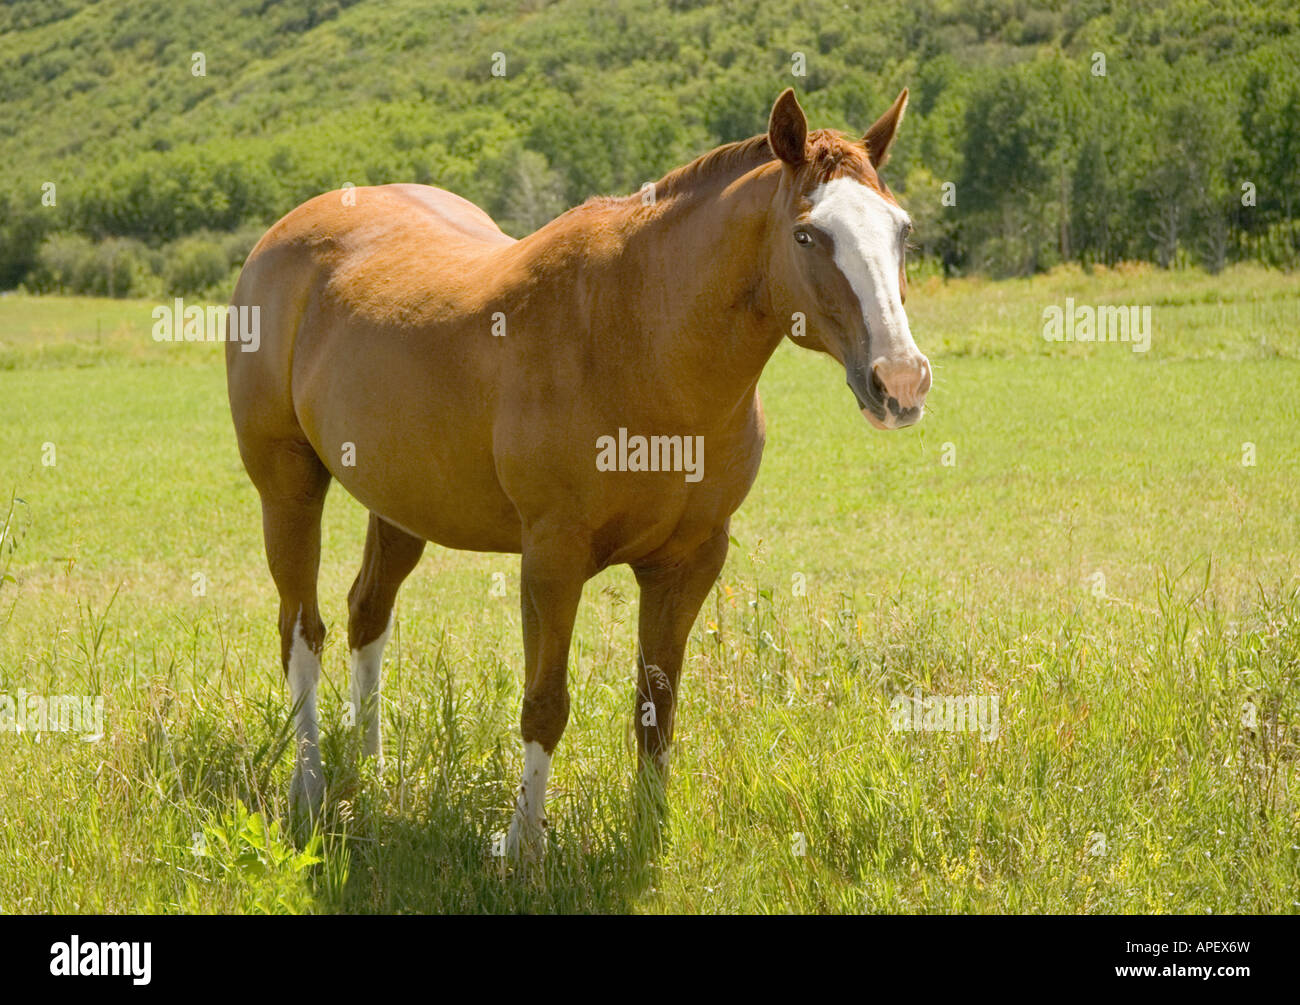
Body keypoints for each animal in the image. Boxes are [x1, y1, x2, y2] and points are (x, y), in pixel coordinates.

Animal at [225, 87, 930, 858]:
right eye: (807, 235)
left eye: (901, 231)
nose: (901, 381)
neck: (636, 338)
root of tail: (281, 239)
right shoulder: (552, 559)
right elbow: (545, 704)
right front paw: (524, 848)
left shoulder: (689, 561)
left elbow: (657, 706)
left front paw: (648, 835)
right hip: (286, 486)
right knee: (302, 628)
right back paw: (311, 787)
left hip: (401, 502)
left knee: (366, 615)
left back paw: (376, 774)